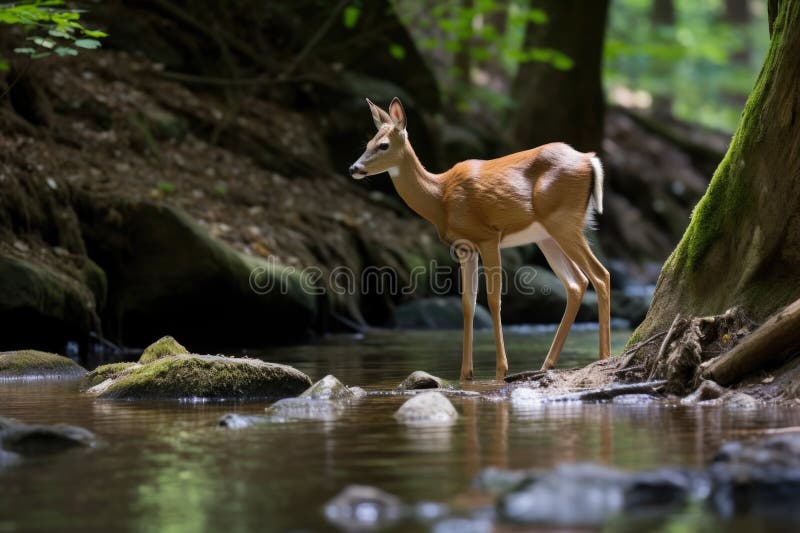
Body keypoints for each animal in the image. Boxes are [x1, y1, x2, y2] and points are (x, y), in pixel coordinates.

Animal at [349, 98, 610, 380]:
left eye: (383, 145)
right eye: (367, 143)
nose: (354, 168)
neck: (440, 197)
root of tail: (589, 160)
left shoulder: (488, 237)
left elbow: (494, 300)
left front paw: (501, 369)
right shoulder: (465, 247)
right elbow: (468, 304)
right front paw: (466, 373)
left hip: (564, 221)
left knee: (600, 275)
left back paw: (603, 356)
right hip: (547, 234)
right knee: (577, 283)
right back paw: (547, 364)